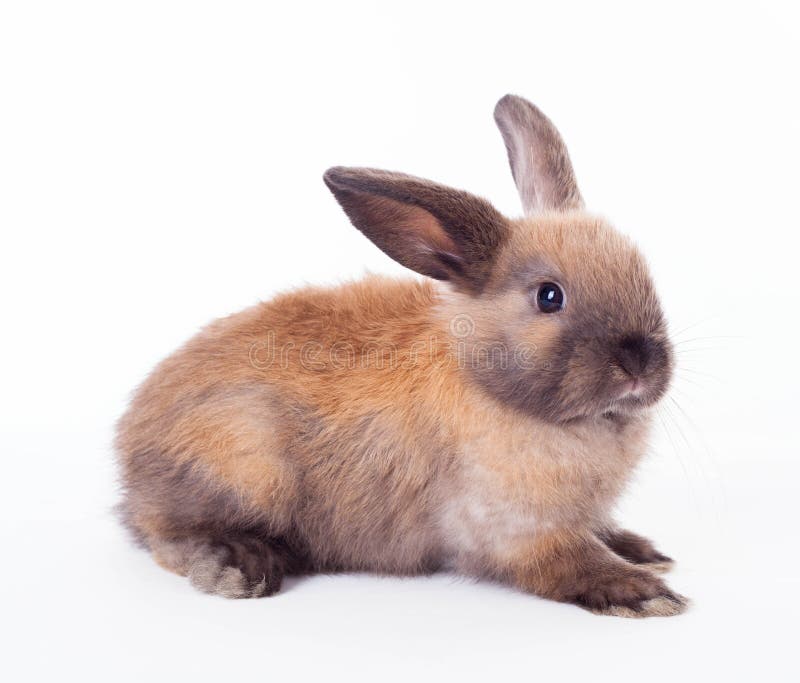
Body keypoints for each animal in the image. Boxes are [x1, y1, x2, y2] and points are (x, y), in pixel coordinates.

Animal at [115, 94, 687, 617]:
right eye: (550, 296)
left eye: (643, 271)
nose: (640, 362)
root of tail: (129, 448)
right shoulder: (517, 533)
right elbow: (571, 563)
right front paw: (646, 593)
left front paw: (644, 551)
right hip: (247, 462)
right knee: (169, 534)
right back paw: (238, 566)